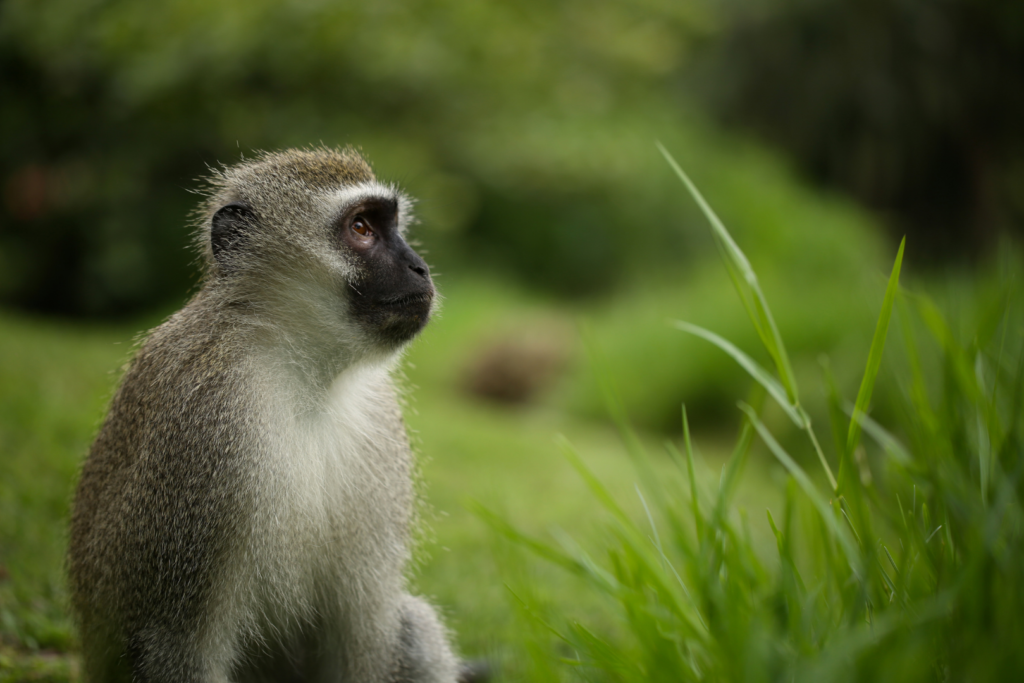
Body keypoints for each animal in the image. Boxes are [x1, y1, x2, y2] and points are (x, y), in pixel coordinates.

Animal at [68, 147, 483, 683]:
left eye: (391, 225)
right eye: (361, 228)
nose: (419, 268)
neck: (304, 375)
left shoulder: (378, 421)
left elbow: (366, 638)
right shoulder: (208, 430)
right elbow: (173, 644)